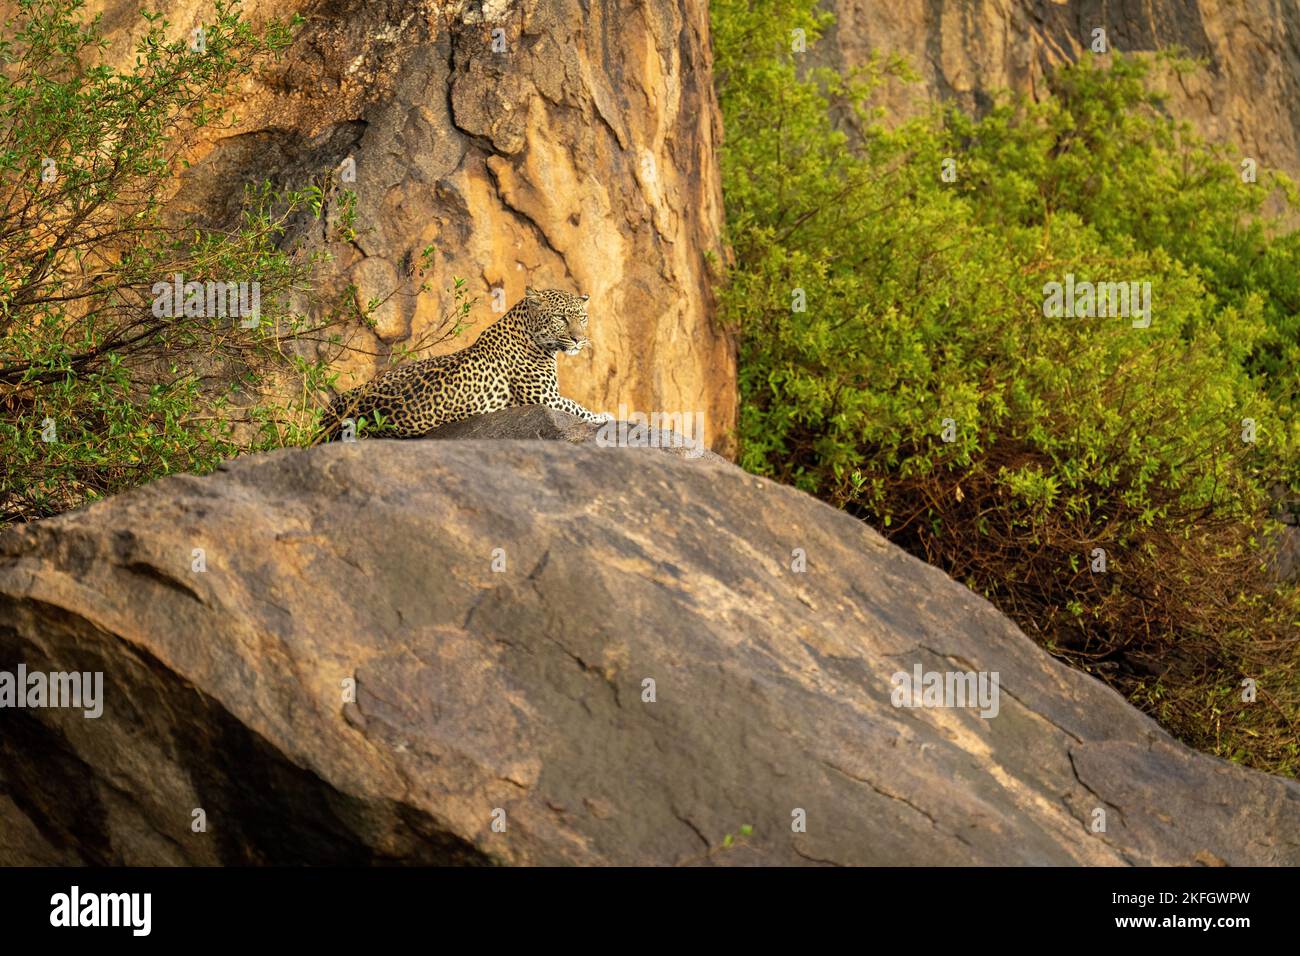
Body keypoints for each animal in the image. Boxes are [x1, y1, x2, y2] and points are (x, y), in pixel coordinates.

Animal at [321, 287, 609, 440]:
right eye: (561, 318)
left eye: (582, 318)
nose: (579, 340)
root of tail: (329, 416)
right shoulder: (545, 398)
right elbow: (577, 407)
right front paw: (603, 415)